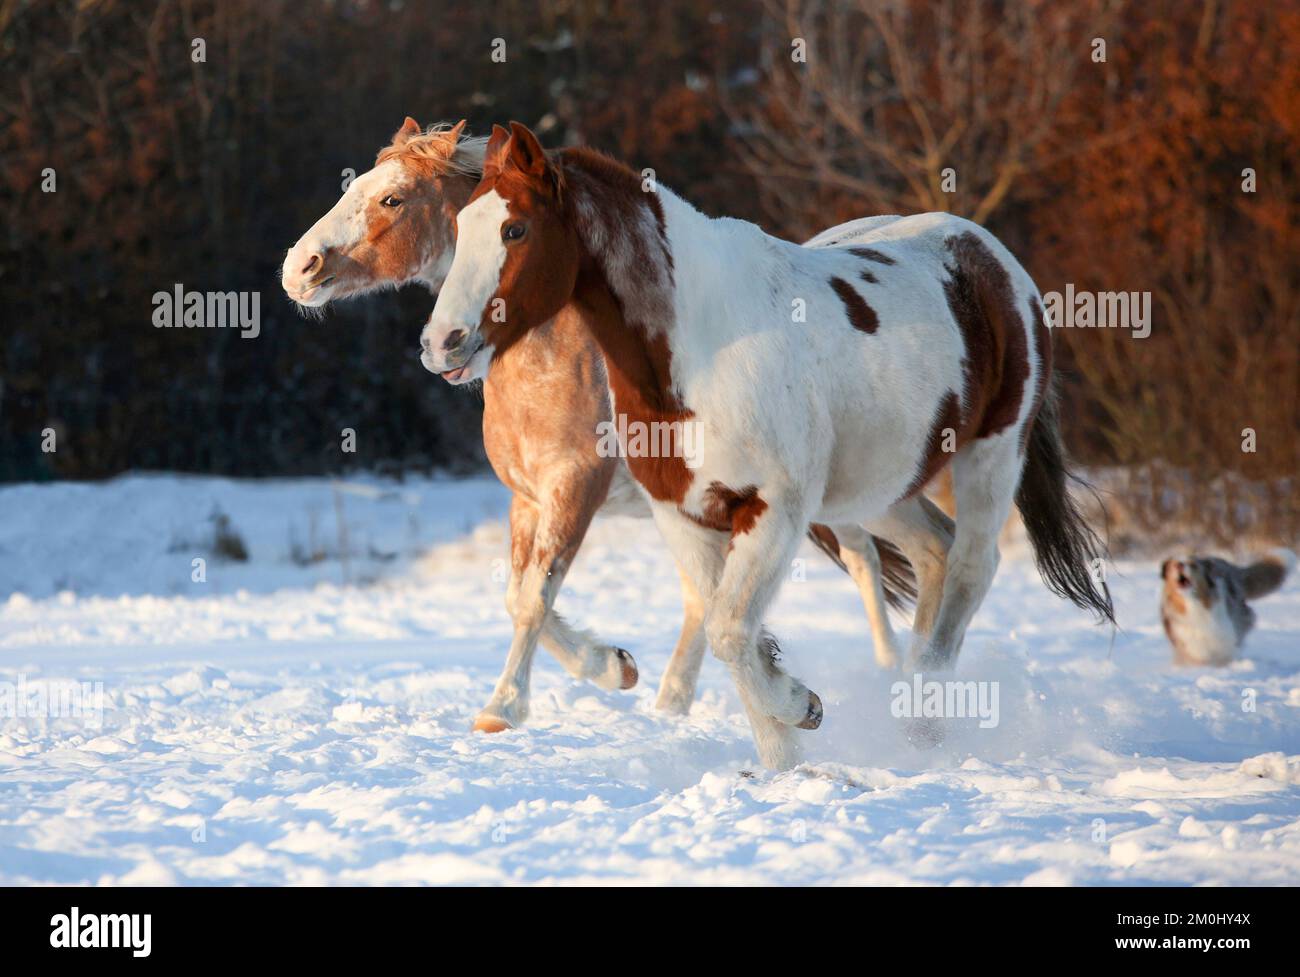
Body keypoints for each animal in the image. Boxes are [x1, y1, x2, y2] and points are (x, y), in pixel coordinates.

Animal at [281, 118, 915, 735]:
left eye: (392, 197)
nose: (298, 267)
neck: (560, 360)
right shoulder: (530, 499)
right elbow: (516, 595)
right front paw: (615, 665)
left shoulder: (576, 487)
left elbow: (534, 599)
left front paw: (504, 708)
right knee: (715, 596)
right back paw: (674, 703)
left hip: (859, 494)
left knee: (872, 556)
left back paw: (889, 677)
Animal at [419, 122, 1114, 770]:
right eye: (461, 224)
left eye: (515, 231)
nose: (441, 343)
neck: (697, 346)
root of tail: (992, 260)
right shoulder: (683, 514)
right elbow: (733, 632)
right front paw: (785, 760)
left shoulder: (771, 508)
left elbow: (730, 631)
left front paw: (801, 709)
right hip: (878, 489)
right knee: (934, 555)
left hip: (990, 457)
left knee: (970, 567)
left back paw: (922, 718)